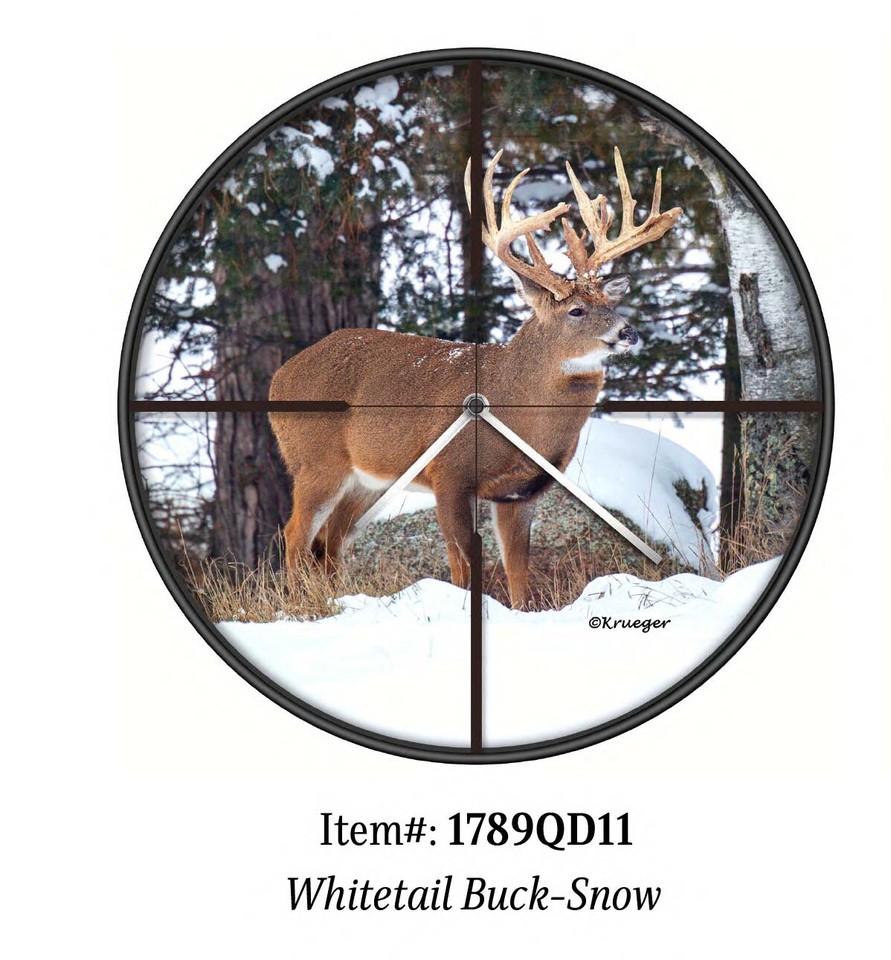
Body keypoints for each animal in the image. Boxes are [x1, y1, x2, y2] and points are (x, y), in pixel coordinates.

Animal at [269, 147, 682, 607]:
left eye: (611, 303)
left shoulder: (519, 492)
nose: (628, 332)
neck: (520, 413)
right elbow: (462, 564)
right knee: (296, 533)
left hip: (367, 479)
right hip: (316, 459)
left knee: (331, 540)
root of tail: (278, 377)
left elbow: (518, 569)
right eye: (576, 310)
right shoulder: (450, 474)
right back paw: (300, 603)